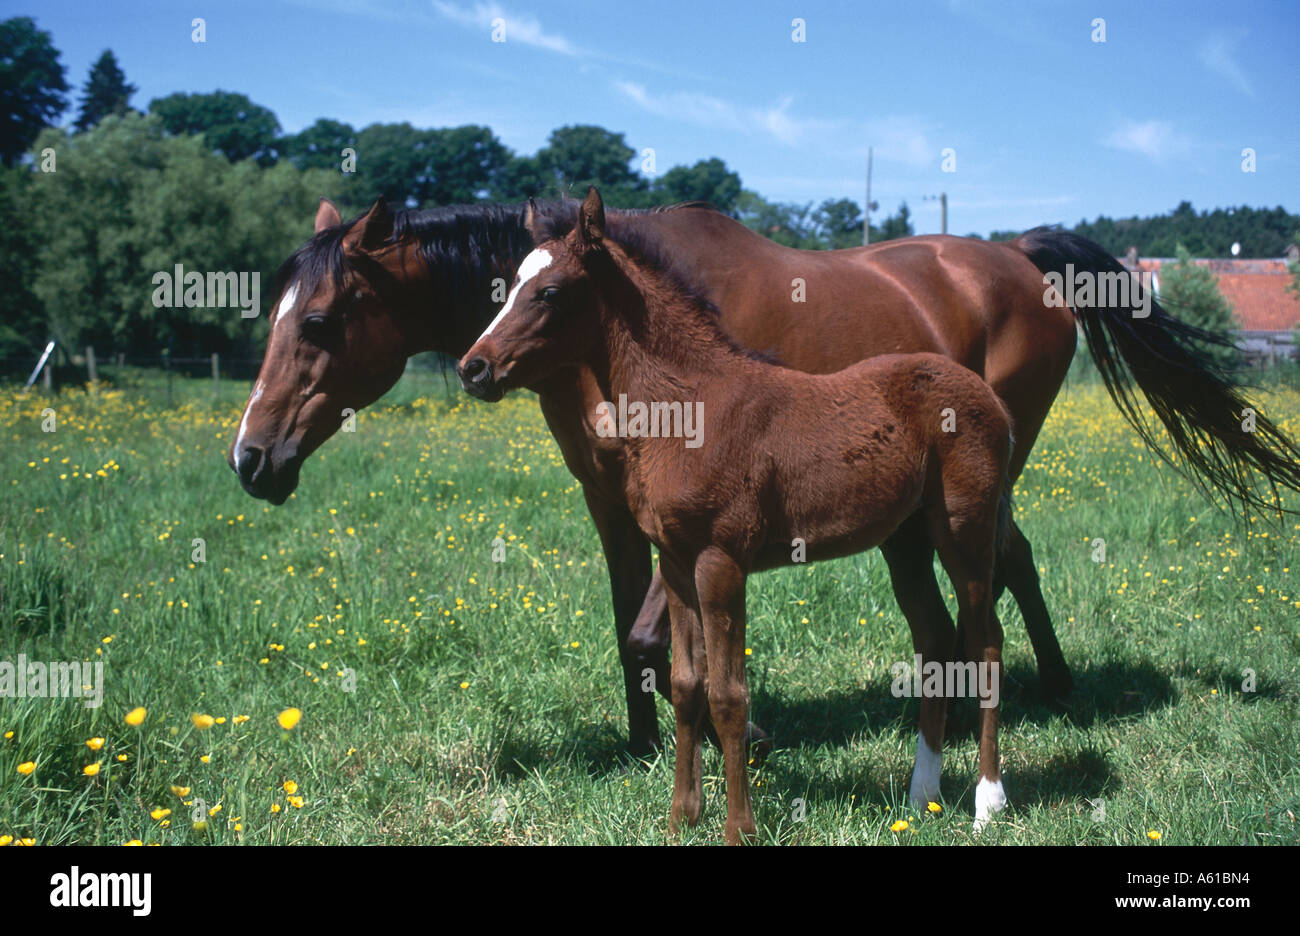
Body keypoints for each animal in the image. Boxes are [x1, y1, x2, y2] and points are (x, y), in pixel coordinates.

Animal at [229, 194, 1300, 761]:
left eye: (317, 320)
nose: (251, 458)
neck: (616, 324)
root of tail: (1016, 255)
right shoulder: (614, 504)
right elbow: (631, 632)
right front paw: (647, 747)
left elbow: (653, 630)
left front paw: (709, 742)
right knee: (1013, 559)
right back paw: (1022, 690)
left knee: (998, 563)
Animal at [457, 186, 1017, 842]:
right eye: (510, 284)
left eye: (549, 292)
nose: (474, 368)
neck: (691, 404)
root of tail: (988, 397)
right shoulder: (676, 565)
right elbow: (685, 685)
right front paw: (680, 819)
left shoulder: (719, 561)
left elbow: (728, 696)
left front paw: (738, 828)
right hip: (905, 539)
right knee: (933, 640)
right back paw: (920, 793)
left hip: (964, 529)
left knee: (984, 641)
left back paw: (988, 800)